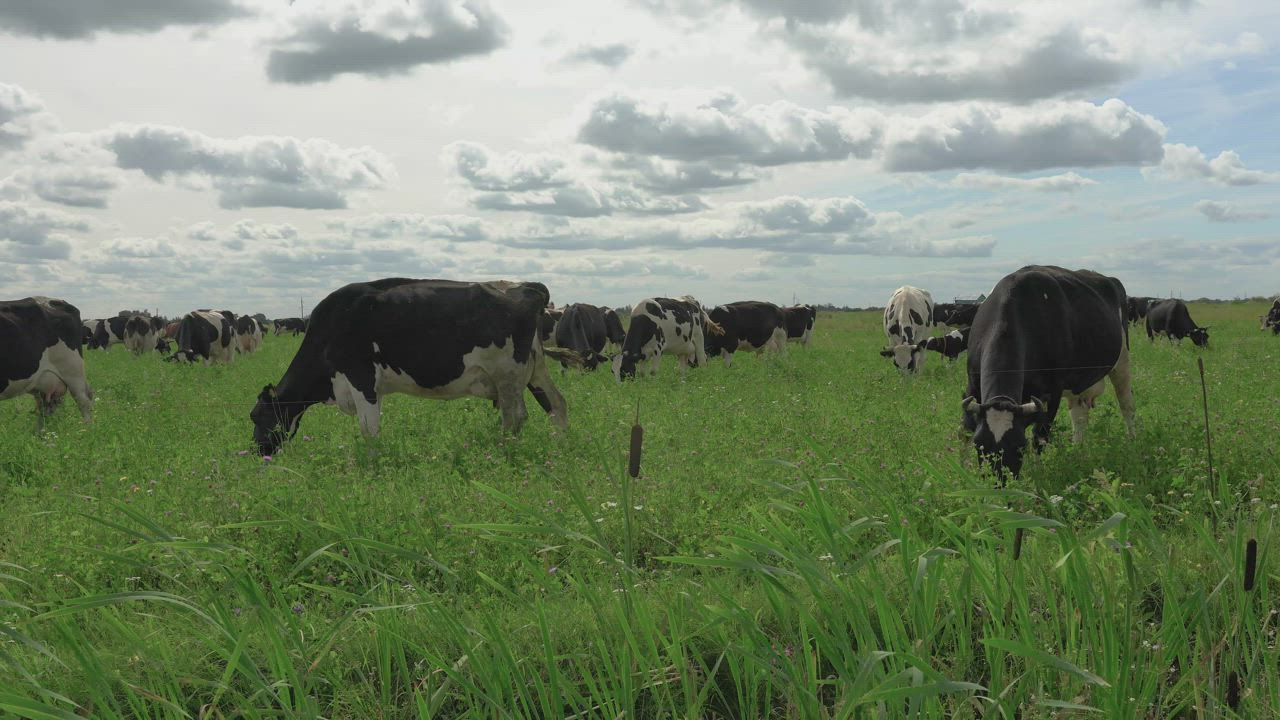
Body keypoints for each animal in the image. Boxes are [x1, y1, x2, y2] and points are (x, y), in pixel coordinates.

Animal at [249, 278, 570, 456]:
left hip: (508, 374)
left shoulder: (360, 376)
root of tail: (528, 286)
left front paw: (371, 467)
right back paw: (559, 450)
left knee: (515, 417)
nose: (257, 452)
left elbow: (369, 429)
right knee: (556, 404)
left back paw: (505, 454)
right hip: (535, 370)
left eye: (257, 417)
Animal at [961, 265, 1135, 478]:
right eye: (979, 446)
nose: (999, 482)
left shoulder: (1053, 392)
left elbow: (1040, 437)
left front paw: (1038, 473)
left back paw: (1134, 441)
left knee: (1126, 403)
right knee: (1079, 416)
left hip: (1122, 360)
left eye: (1020, 446)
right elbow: (965, 430)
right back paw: (1078, 451)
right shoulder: (971, 386)